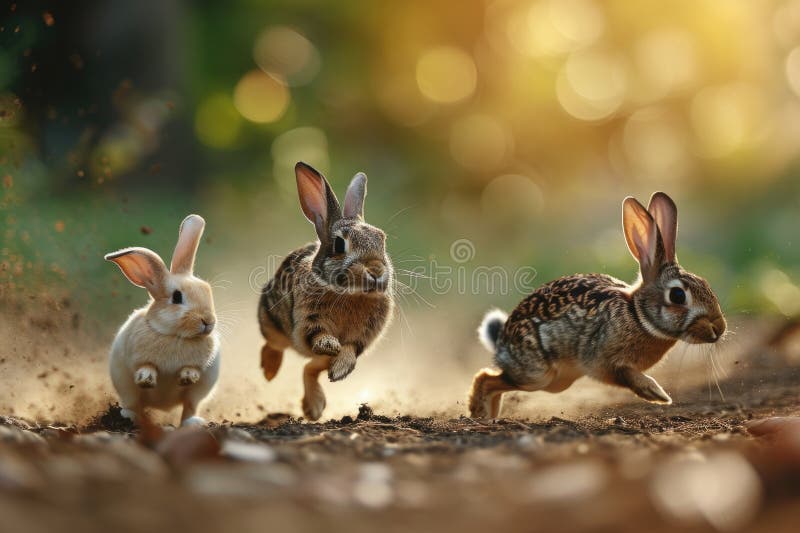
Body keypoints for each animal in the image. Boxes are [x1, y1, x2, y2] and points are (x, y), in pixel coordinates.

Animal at [105, 214, 220, 427]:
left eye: (207, 290)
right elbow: (146, 366)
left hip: (197, 395)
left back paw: (193, 423)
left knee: (189, 408)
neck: (174, 336)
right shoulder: (138, 358)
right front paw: (146, 379)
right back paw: (129, 417)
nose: (208, 321)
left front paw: (187, 377)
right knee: (134, 405)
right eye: (177, 297)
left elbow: (191, 369)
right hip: (127, 391)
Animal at [258, 162, 394, 421]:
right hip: (271, 321)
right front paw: (330, 344)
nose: (376, 270)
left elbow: (349, 349)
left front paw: (340, 369)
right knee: (275, 344)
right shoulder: (309, 321)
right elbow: (319, 335)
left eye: (382, 239)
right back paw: (269, 370)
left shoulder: (363, 336)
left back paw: (314, 407)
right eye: (339, 245)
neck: (351, 293)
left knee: (309, 368)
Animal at [469, 192, 727, 418]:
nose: (719, 328)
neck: (638, 315)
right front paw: (656, 393)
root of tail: (501, 340)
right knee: (486, 377)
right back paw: (480, 414)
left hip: (556, 382)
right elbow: (626, 375)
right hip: (538, 373)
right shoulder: (603, 360)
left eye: (705, 284)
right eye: (677, 295)